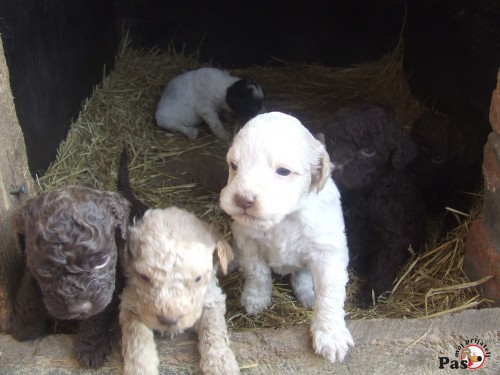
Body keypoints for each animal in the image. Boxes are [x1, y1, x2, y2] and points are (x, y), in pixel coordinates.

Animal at [10, 187, 131, 368]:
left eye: (101, 262)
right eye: (45, 271)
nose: (79, 308)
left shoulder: (110, 286)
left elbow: (97, 316)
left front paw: (91, 349)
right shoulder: (31, 272)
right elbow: (29, 297)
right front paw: (24, 328)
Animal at [120, 207, 239, 374]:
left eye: (198, 278)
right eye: (144, 277)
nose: (169, 320)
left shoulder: (212, 298)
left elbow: (213, 327)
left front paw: (221, 364)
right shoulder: (130, 301)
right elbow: (136, 335)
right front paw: (141, 369)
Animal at [221, 111, 354, 364]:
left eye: (283, 171)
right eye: (233, 166)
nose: (243, 199)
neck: (284, 218)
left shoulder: (328, 251)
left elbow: (329, 292)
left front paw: (330, 334)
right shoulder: (247, 239)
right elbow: (257, 271)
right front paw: (256, 298)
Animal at [320, 103, 426, 308]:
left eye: (368, 151)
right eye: (334, 138)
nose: (335, 166)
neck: (362, 196)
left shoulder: (392, 234)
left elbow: (383, 266)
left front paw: (370, 295)